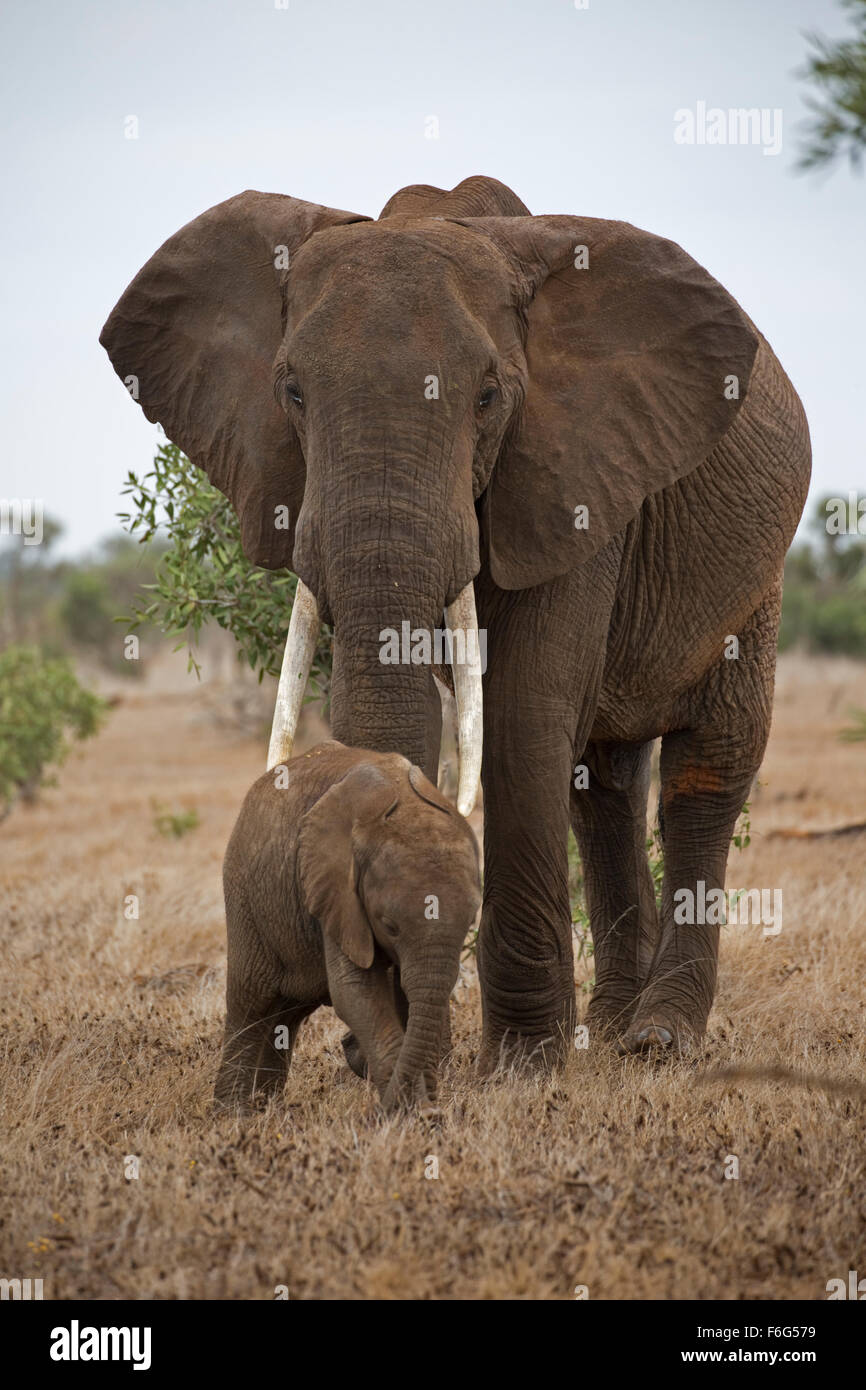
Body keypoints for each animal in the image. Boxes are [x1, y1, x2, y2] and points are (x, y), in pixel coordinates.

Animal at [101, 174, 811, 1066]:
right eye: (291, 391)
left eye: (488, 396)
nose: (361, 1048)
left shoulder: (573, 477)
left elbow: (521, 714)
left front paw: (520, 1068)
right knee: (603, 785)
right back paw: (613, 1029)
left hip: (755, 575)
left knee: (705, 773)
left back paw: (658, 1039)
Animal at [213, 740, 481, 1113]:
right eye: (389, 926)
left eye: (471, 921)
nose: (378, 1111)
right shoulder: (336, 892)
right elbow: (355, 992)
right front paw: (407, 1115)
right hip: (244, 893)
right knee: (251, 1000)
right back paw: (234, 1114)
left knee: (286, 1013)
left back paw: (267, 1108)